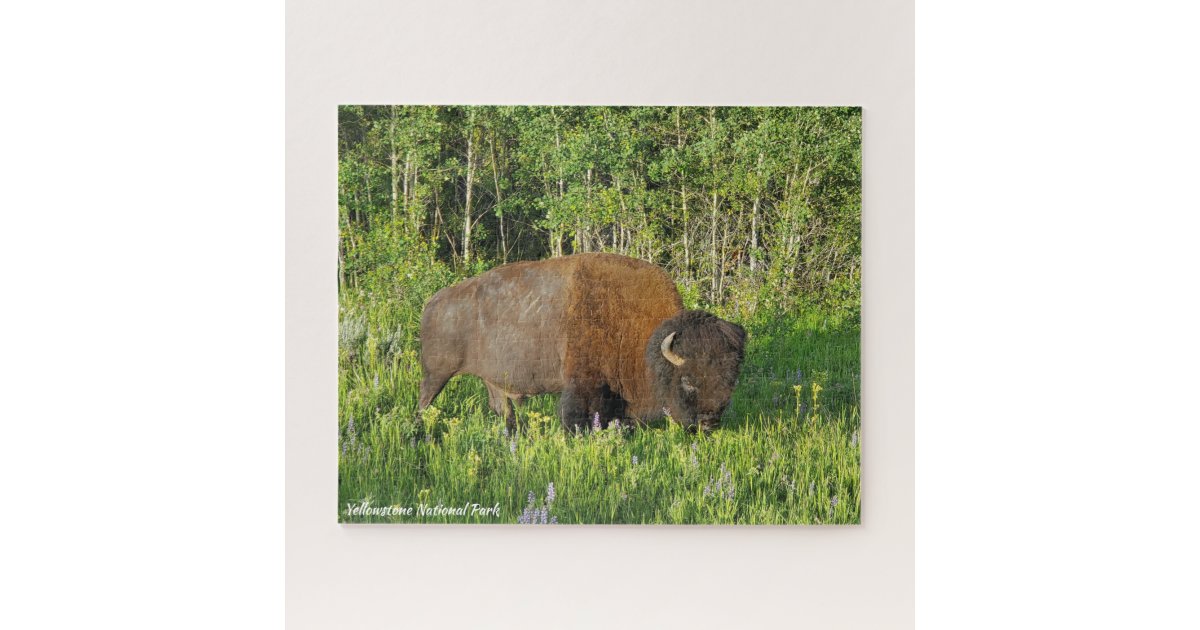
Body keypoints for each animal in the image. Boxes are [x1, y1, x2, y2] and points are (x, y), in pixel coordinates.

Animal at [417, 253, 746, 431]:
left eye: (729, 381)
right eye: (688, 380)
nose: (709, 423)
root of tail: (432, 302)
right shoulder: (583, 384)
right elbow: (575, 417)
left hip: (493, 381)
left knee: (503, 410)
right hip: (436, 374)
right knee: (424, 402)